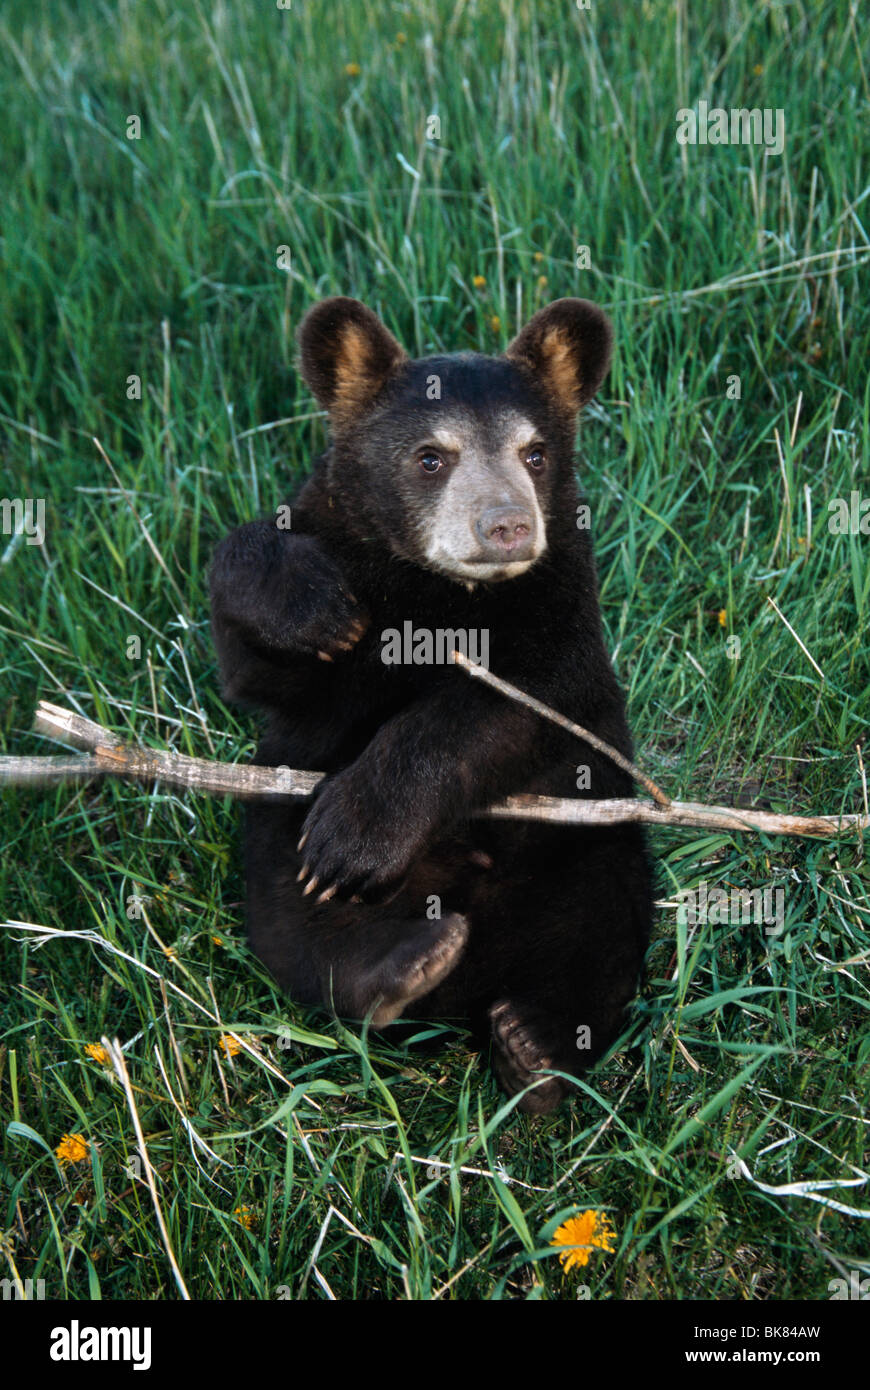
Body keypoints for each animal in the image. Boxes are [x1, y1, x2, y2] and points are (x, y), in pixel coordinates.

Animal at [209, 296, 653, 1114]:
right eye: (430, 457)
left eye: (535, 454)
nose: (507, 527)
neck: (443, 592)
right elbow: (256, 662)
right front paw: (312, 605)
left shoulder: (562, 612)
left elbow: (509, 706)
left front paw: (354, 833)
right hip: (270, 861)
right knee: (301, 935)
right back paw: (406, 965)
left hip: (591, 848)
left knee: (602, 932)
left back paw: (536, 1049)